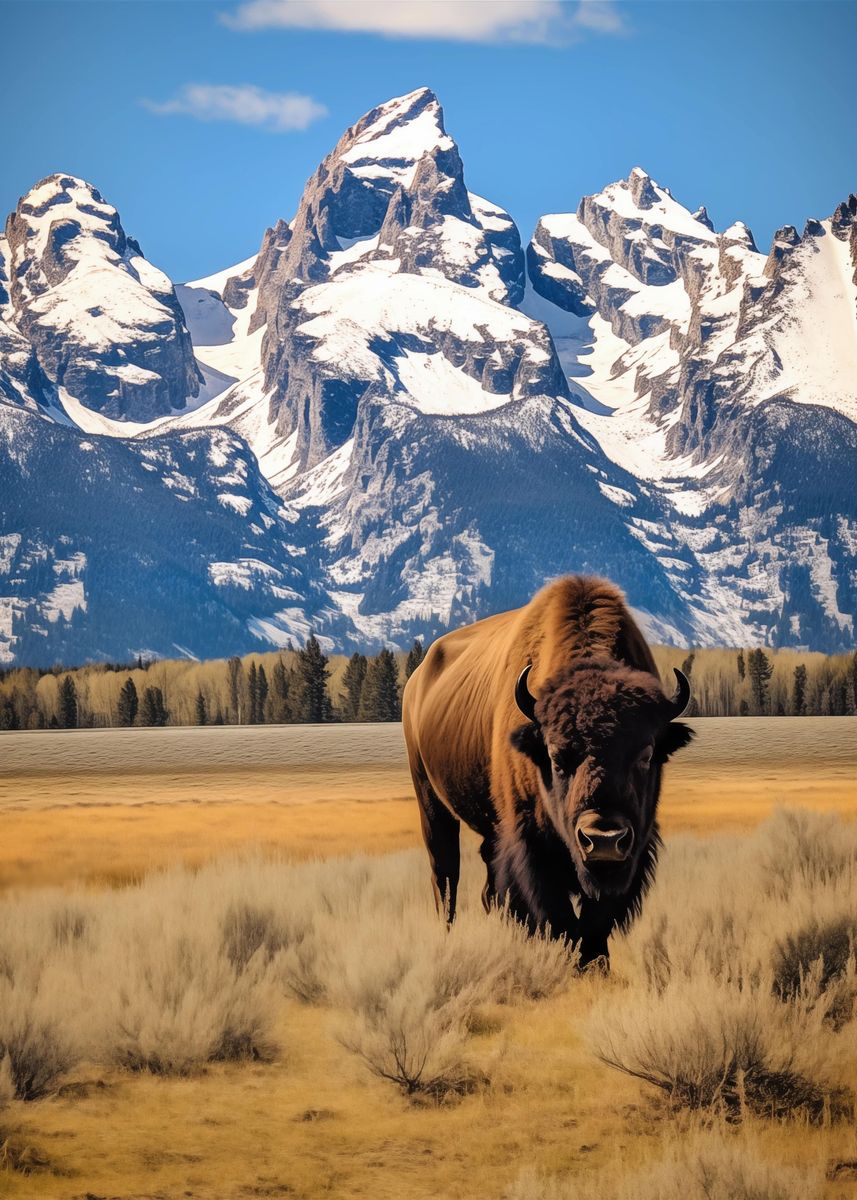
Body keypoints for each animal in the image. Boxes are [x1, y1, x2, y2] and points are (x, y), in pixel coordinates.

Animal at [402, 575, 693, 967]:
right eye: (556, 757)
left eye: (646, 755)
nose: (603, 839)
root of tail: (416, 680)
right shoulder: (530, 842)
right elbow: (558, 918)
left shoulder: (635, 845)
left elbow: (596, 921)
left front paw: (596, 963)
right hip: (430, 801)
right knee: (446, 877)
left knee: (488, 886)